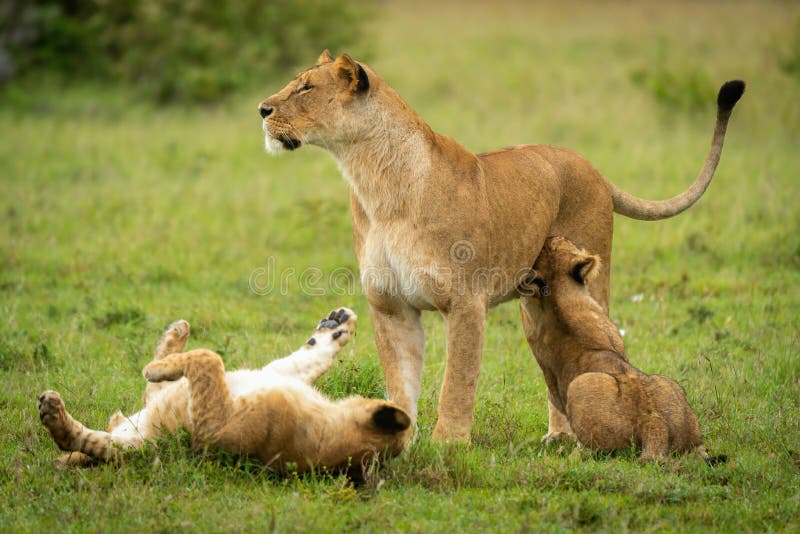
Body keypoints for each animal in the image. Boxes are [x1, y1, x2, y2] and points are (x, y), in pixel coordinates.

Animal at [38, 308, 411, 474]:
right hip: (271, 374)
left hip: (142, 448)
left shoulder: (212, 429)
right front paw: (335, 326)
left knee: (88, 442)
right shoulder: (276, 377)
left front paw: (158, 366)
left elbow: (209, 357)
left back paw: (53, 410)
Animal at [519, 236, 724, 462]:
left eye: (559, 243)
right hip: (668, 386)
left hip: (579, 385)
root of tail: (654, 425)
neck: (559, 293)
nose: (551, 236)